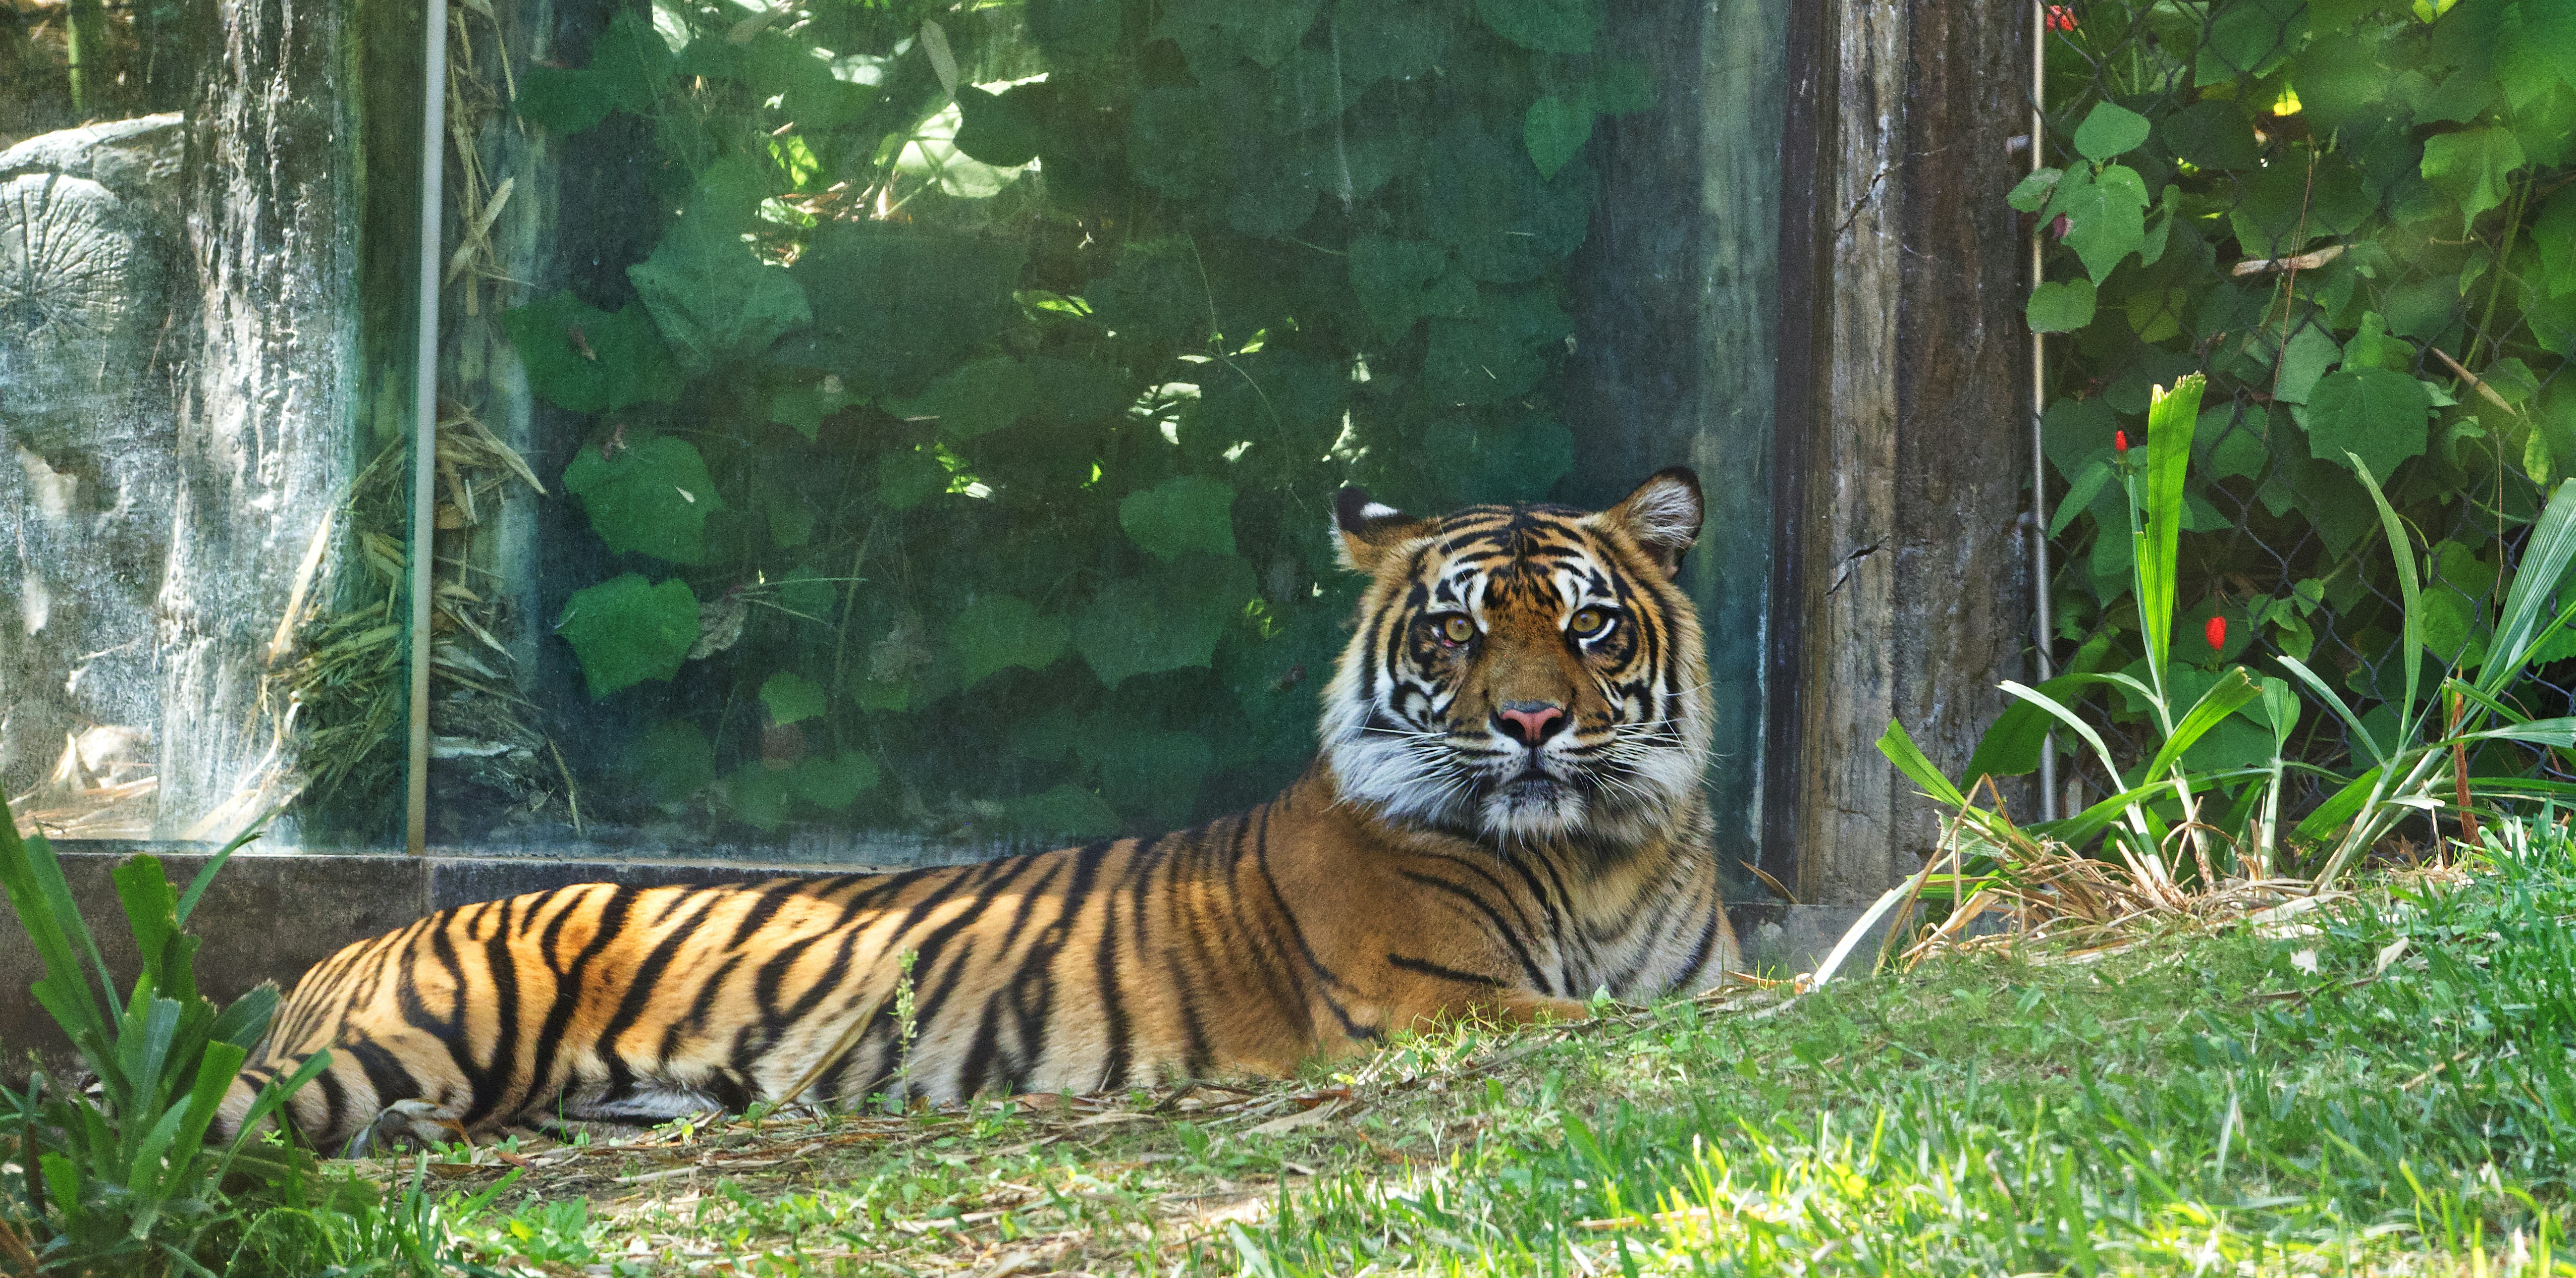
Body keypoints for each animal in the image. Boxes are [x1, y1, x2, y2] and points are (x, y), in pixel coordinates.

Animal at [213, 469, 1740, 1151]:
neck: (1593, 855)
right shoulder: (1443, 1000)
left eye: (1590, 628)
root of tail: (345, 946)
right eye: (1456, 632)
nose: (1532, 723)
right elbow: (1636, 1018)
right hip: (391, 1045)